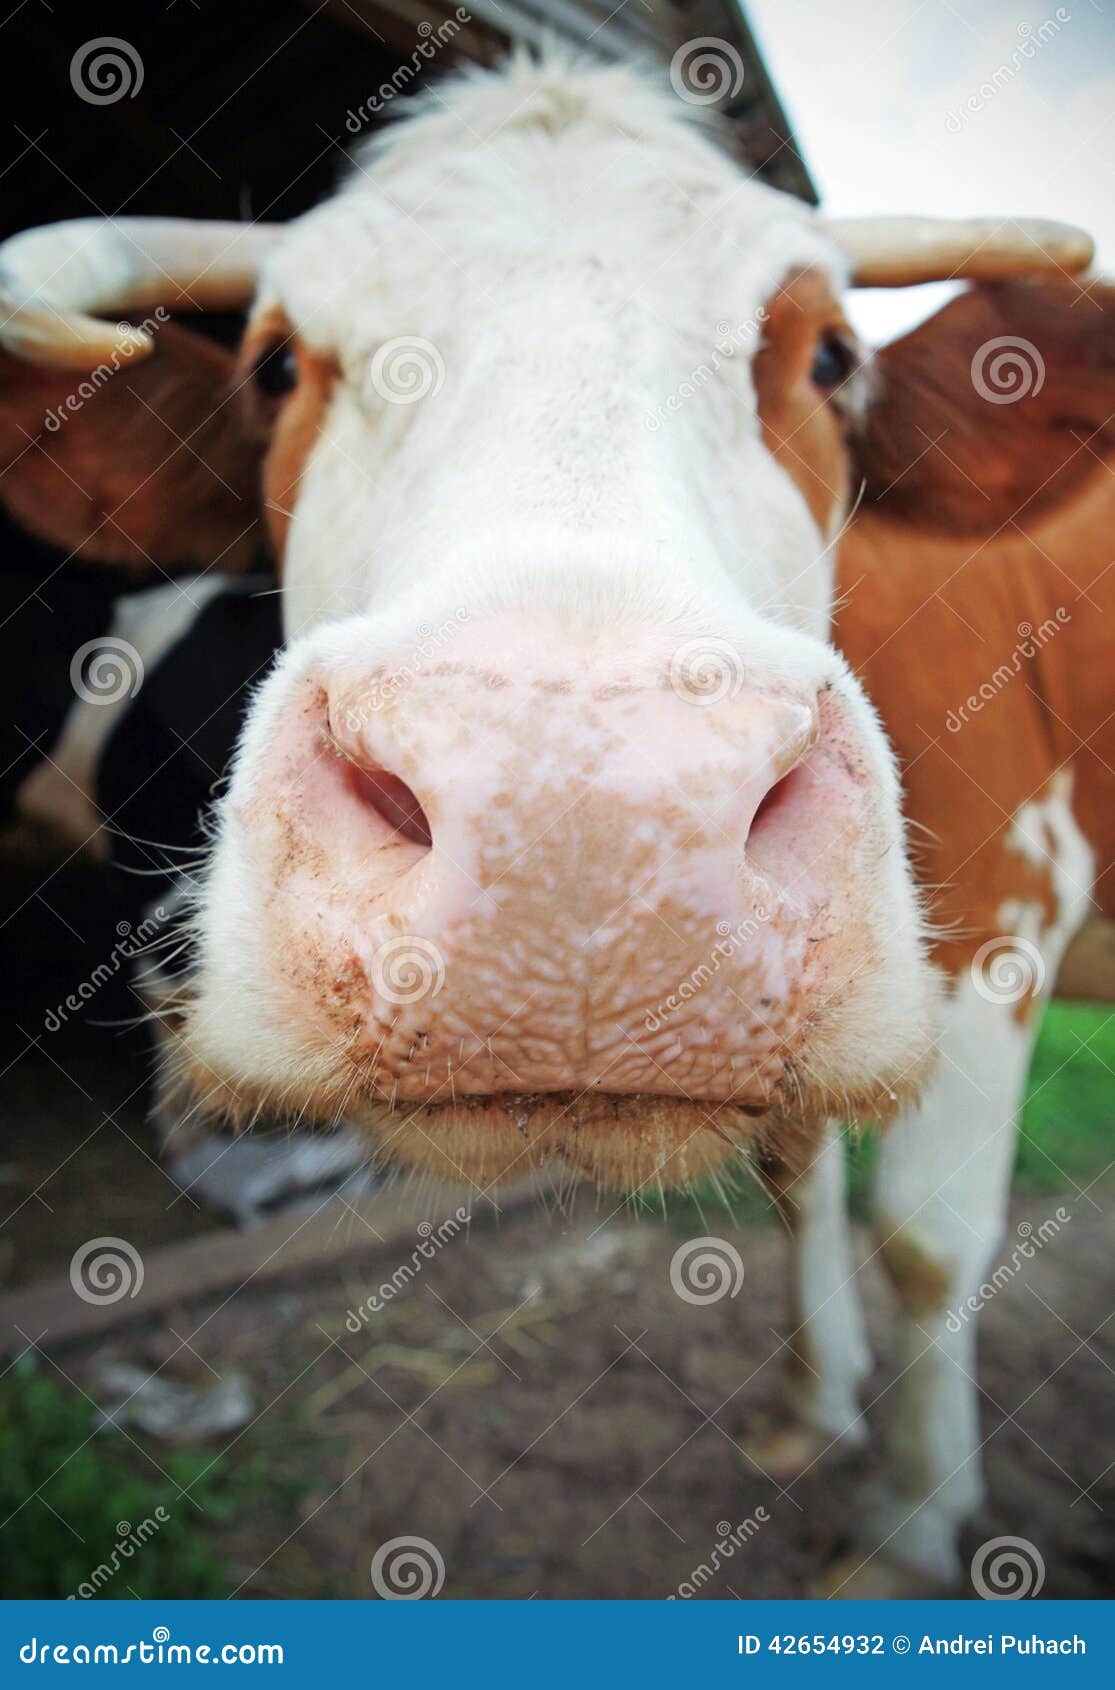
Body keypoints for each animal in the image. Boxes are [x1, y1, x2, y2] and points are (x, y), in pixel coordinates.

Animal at [1, 58, 1108, 1593]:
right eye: (274, 365)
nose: (583, 823)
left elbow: (924, 1240)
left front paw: (901, 1528)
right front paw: (805, 1406)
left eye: (829, 357)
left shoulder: (1009, 907)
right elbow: (801, 1179)